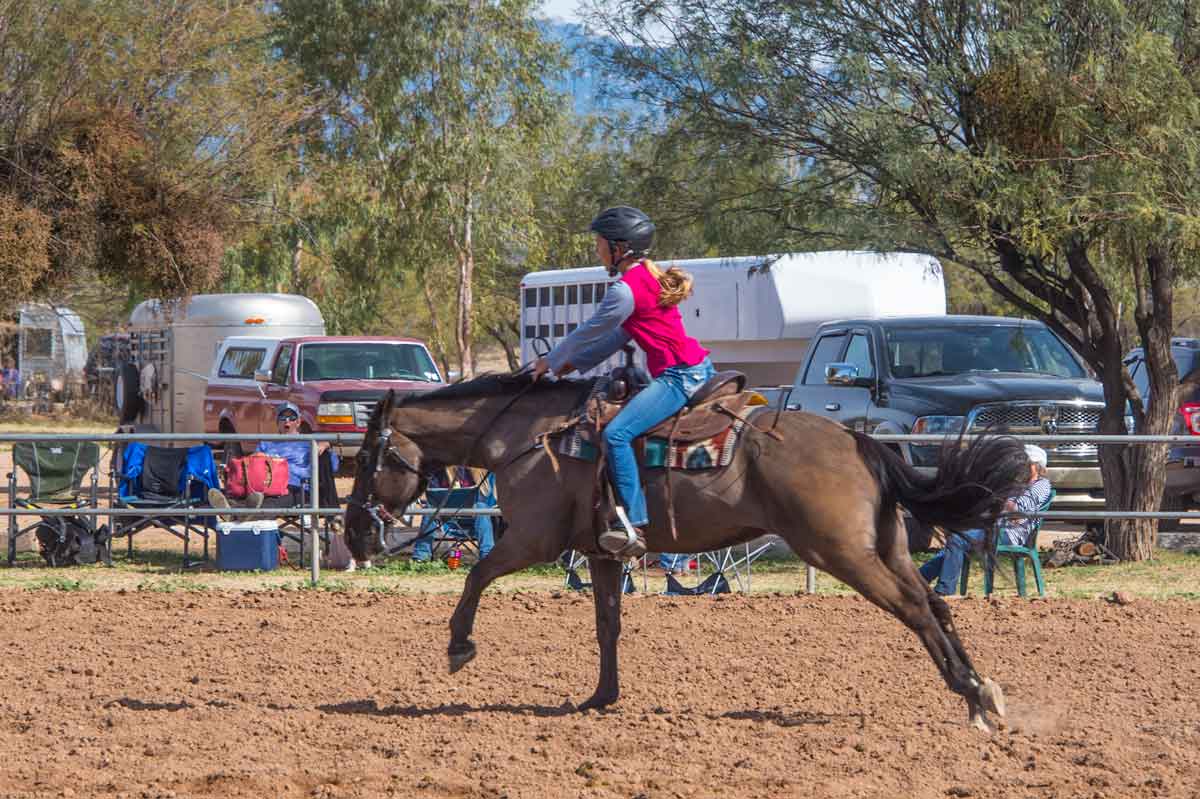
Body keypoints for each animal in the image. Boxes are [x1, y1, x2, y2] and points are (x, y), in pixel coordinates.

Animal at [343, 374, 1028, 730]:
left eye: (368, 457)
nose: (351, 535)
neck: (529, 439)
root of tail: (857, 440)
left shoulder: (532, 538)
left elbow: (476, 577)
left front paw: (459, 646)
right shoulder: (601, 553)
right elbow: (607, 625)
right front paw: (601, 698)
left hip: (842, 554)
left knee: (914, 611)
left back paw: (971, 695)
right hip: (885, 549)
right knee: (935, 603)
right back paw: (983, 693)